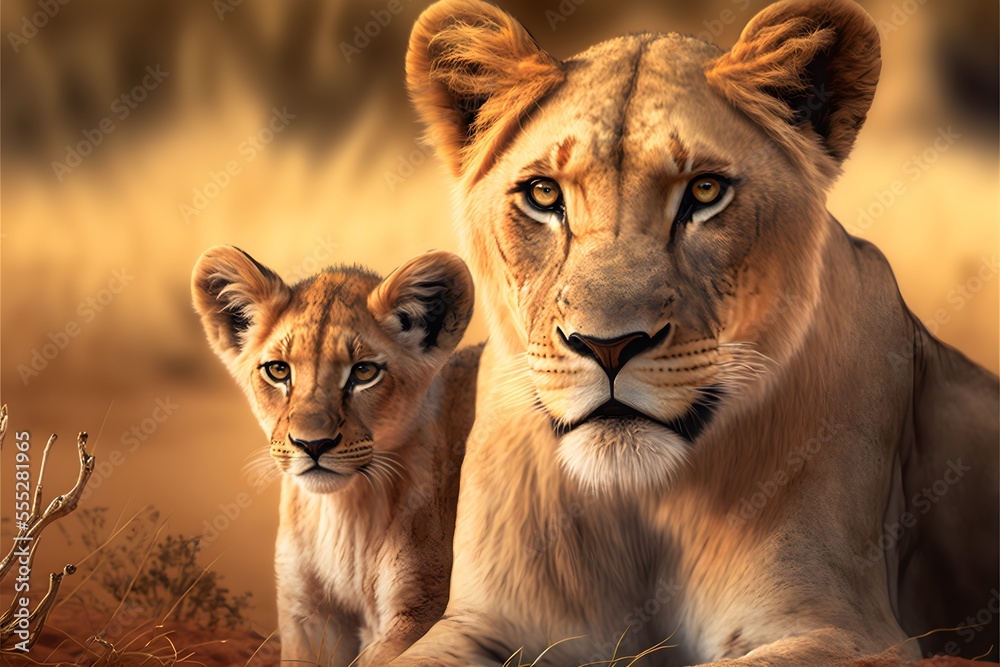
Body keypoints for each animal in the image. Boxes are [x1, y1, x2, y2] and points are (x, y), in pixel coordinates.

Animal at [191, 247, 480, 666]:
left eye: (364, 372)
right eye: (278, 370)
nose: (312, 444)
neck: (345, 514)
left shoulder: (422, 610)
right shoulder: (307, 612)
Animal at [390, 0, 1000, 664]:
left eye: (705, 190)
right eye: (543, 194)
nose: (608, 346)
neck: (644, 507)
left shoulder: (847, 627)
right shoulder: (482, 620)